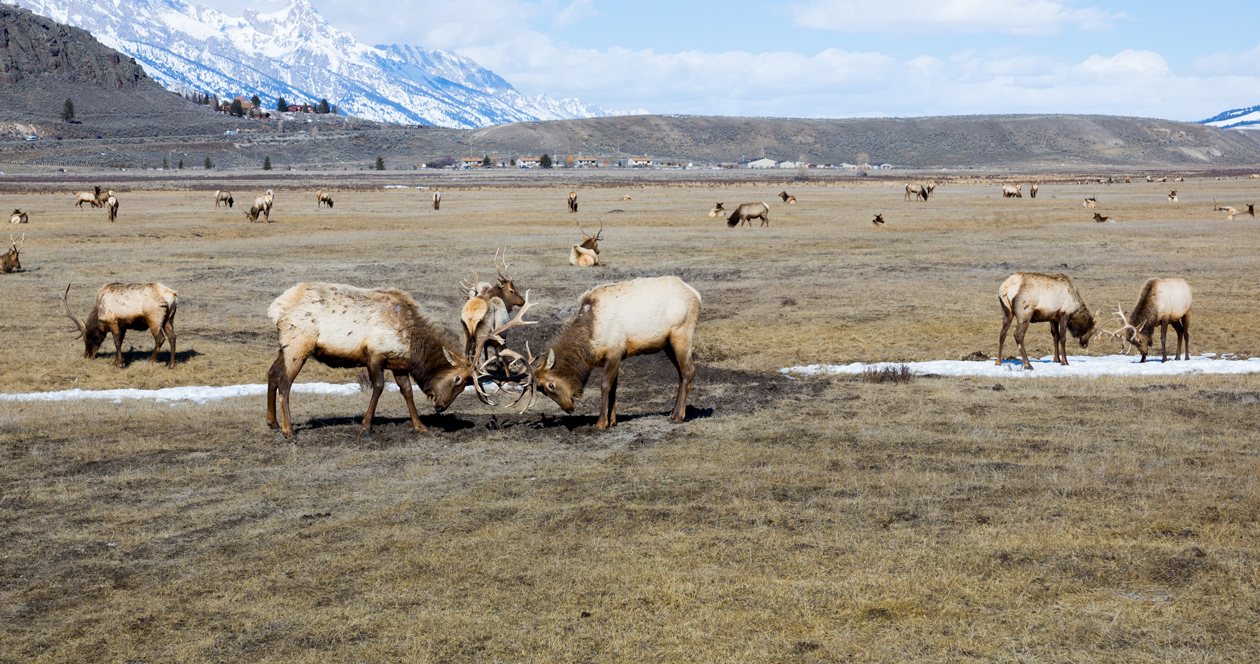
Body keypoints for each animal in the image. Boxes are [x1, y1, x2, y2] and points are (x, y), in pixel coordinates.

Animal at [265, 282, 477, 438]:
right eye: (458, 379)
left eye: (464, 385)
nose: (440, 406)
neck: (412, 347)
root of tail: (275, 309)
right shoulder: (374, 354)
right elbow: (379, 386)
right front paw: (367, 426)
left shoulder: (398, 364)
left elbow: (407, 391)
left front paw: (420, 426)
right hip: (298, 345)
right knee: (285, 382)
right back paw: (289, 431)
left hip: (284, 347)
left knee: (272, 373)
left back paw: (272, 422)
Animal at [528, 276, 701, 430]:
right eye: (542, 391)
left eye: (551, 385)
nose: (569, 408)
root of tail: (696, 295)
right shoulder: (614, 357)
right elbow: (613, 388)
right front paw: (612, 421)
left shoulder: (614, 352)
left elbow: (605, 386)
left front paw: (601, 423)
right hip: (667, 344)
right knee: (681, 373)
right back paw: (673, 413)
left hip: (682, 333)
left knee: (688, 370)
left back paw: (678, 416)